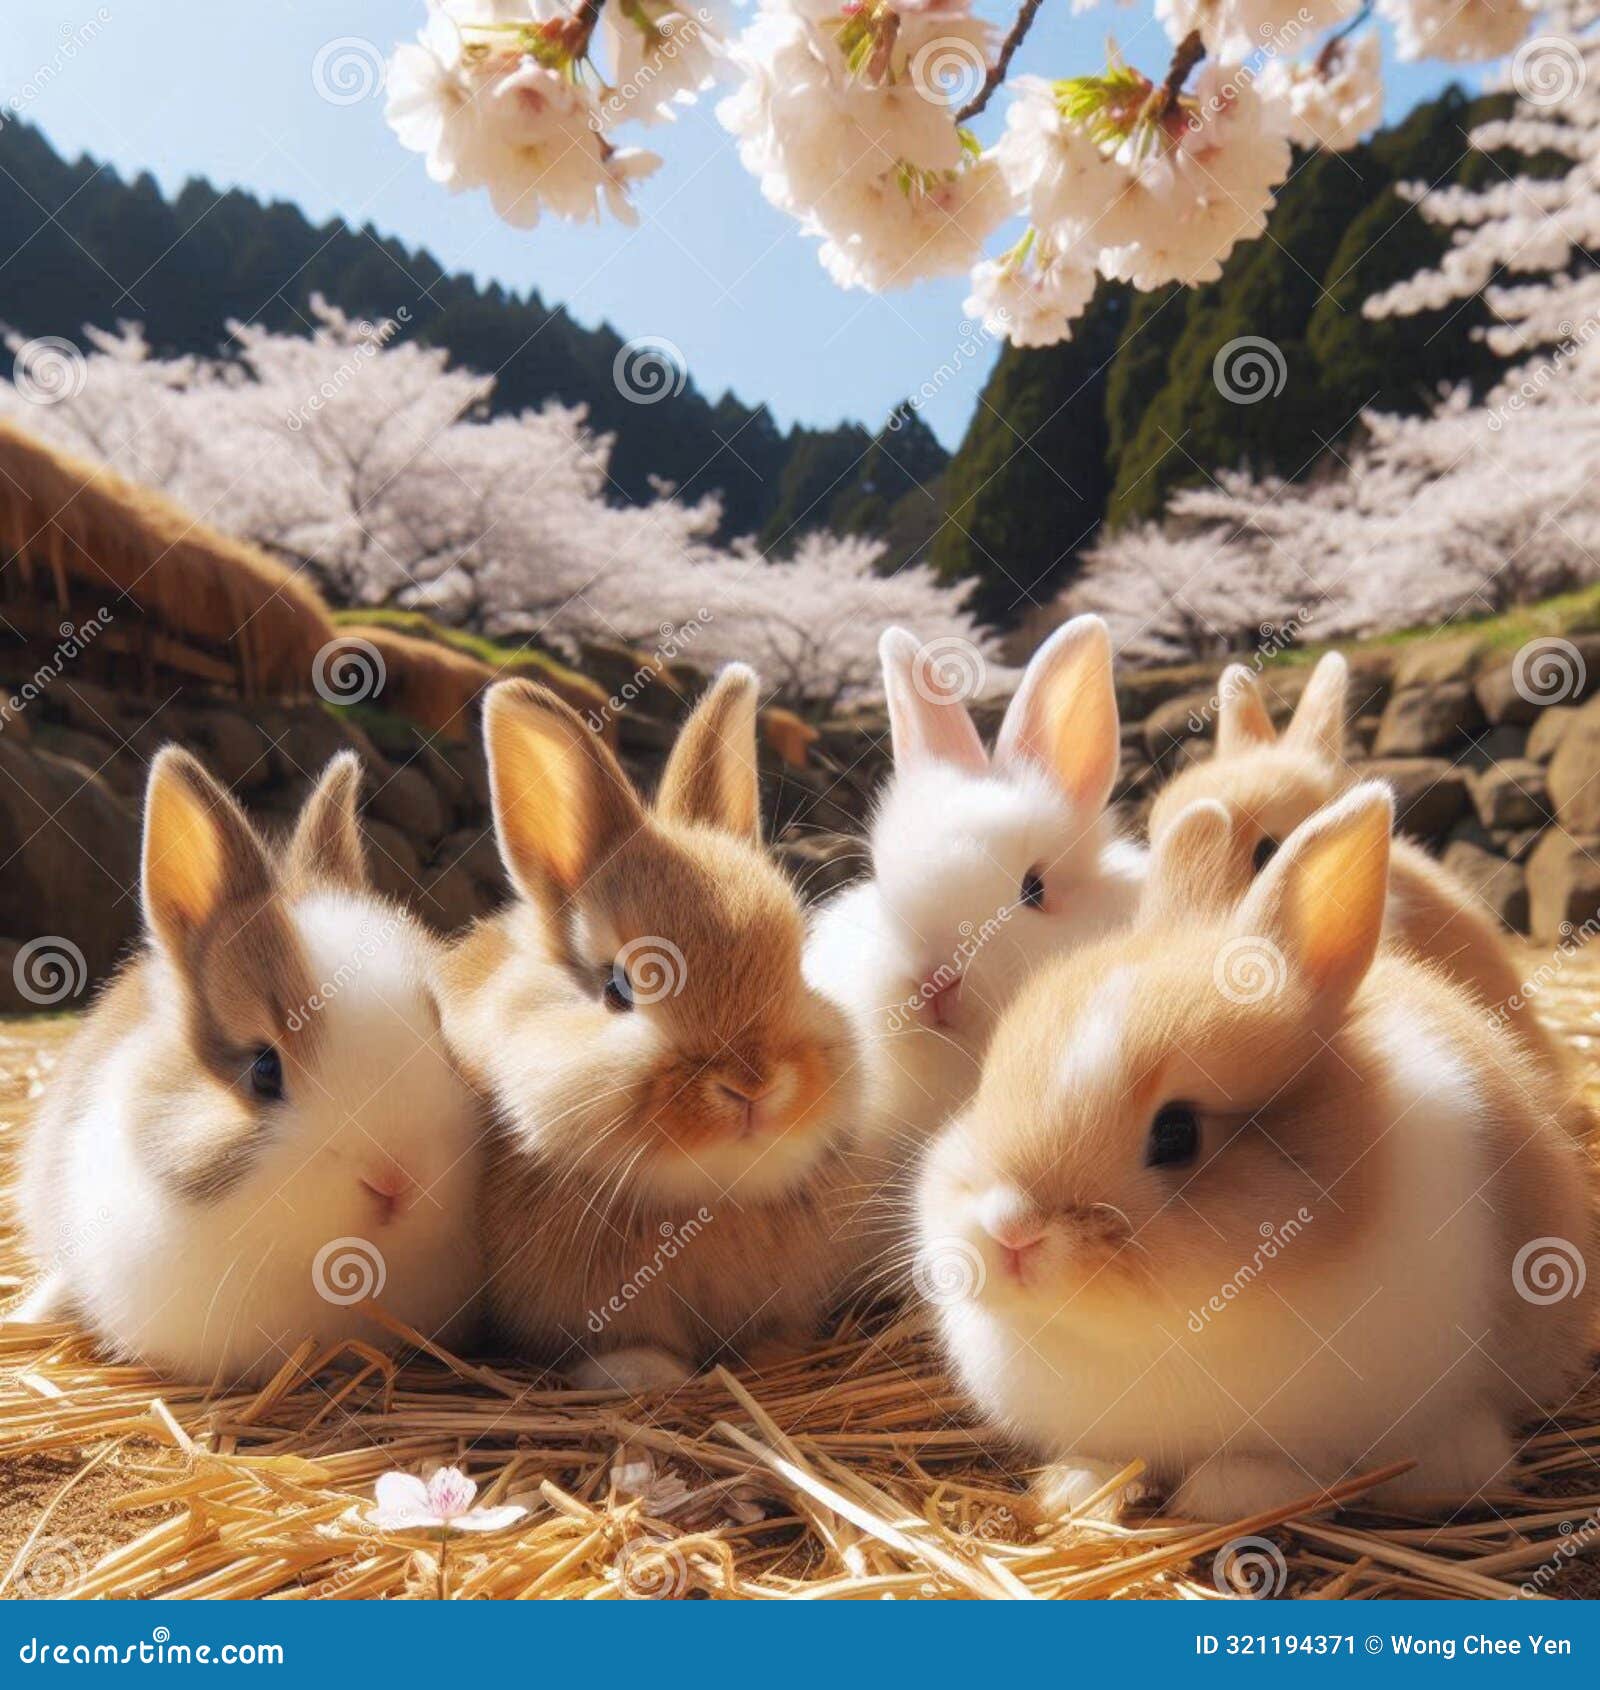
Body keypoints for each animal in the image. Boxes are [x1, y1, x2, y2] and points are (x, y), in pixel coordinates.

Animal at [438, 664, 866, 1394]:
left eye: (797, 968)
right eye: (619, 988)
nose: (752, 1085)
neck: (702, 1201)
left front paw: (773, 1356)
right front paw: (644, 1374)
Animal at [918, 781, 1594, 1523]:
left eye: (1178, 1133)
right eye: (989, 1081)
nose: (1012, 1232)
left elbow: (1272, 1472)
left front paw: (1225, 1492)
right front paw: (1075, 1489)